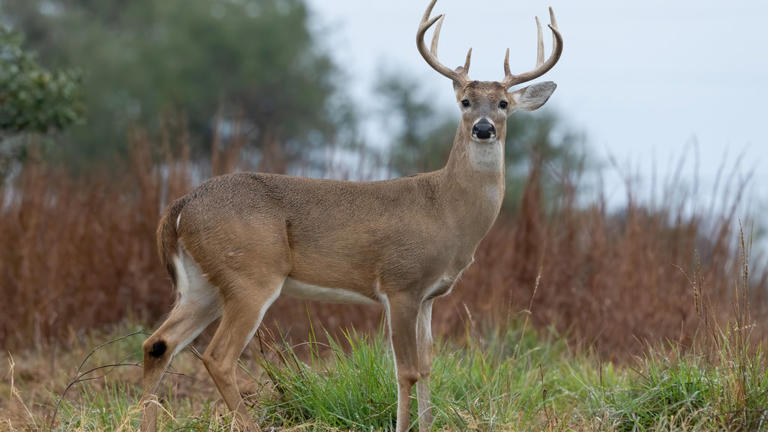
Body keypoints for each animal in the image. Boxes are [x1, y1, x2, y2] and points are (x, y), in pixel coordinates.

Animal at [139, 1, 562, 430]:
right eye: (465, 102)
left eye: (503, 104)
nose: (483, 128)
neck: (445, 209)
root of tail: (179, 206)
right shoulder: (400, 283)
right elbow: (406, 370)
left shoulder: (429, 295)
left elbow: (428, 367)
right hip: (250, 275)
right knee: (217, 356)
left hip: (202, 283)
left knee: (159, 343)